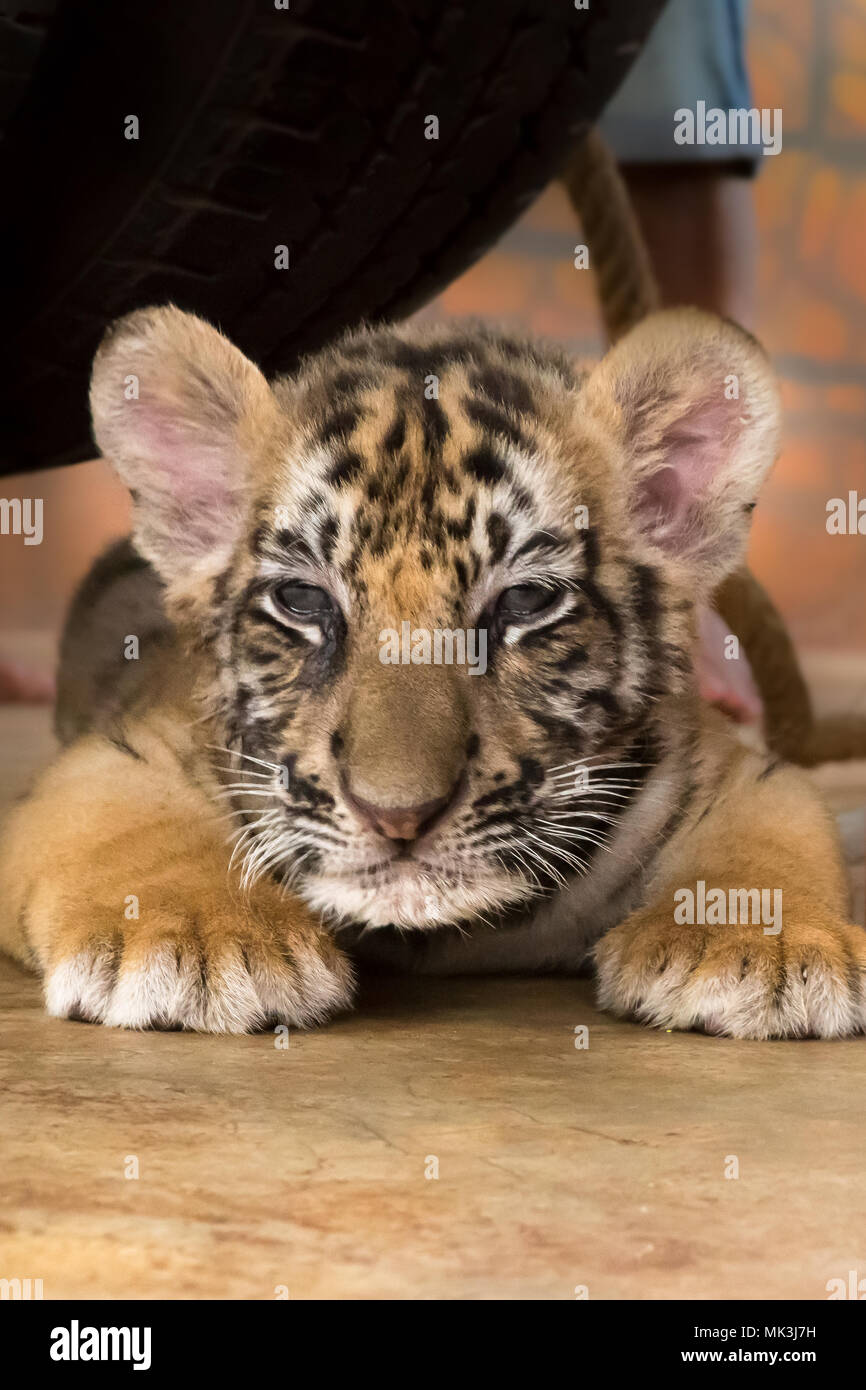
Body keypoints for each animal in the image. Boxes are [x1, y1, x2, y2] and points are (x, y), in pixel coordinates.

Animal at [0, 300, 863, 1039]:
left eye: (525, 601)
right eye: (302, 599)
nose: (398, 815)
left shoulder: (737, 772)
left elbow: (763, 848)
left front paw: (761, 952)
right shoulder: (117, 755)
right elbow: (140, 832)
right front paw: (202, 940)